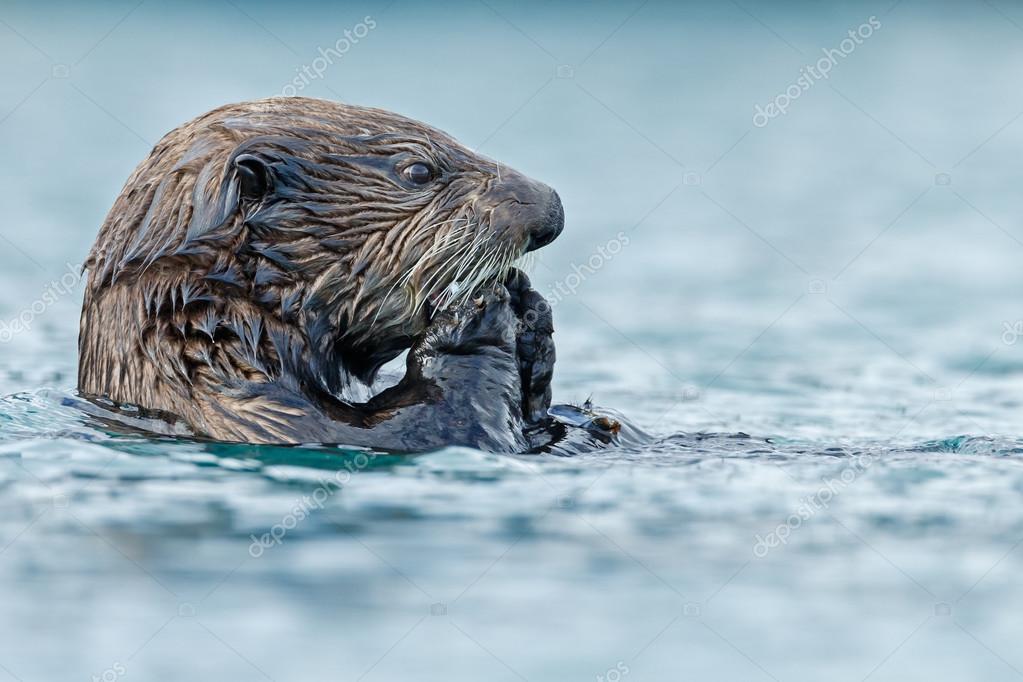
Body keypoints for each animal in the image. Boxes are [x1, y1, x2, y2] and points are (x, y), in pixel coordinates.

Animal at [78, 97, 613, 453]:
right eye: (418, 171)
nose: (551, 208)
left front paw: (531, 316)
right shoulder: (241, 409)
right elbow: (443, 426)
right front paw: (478, 313)